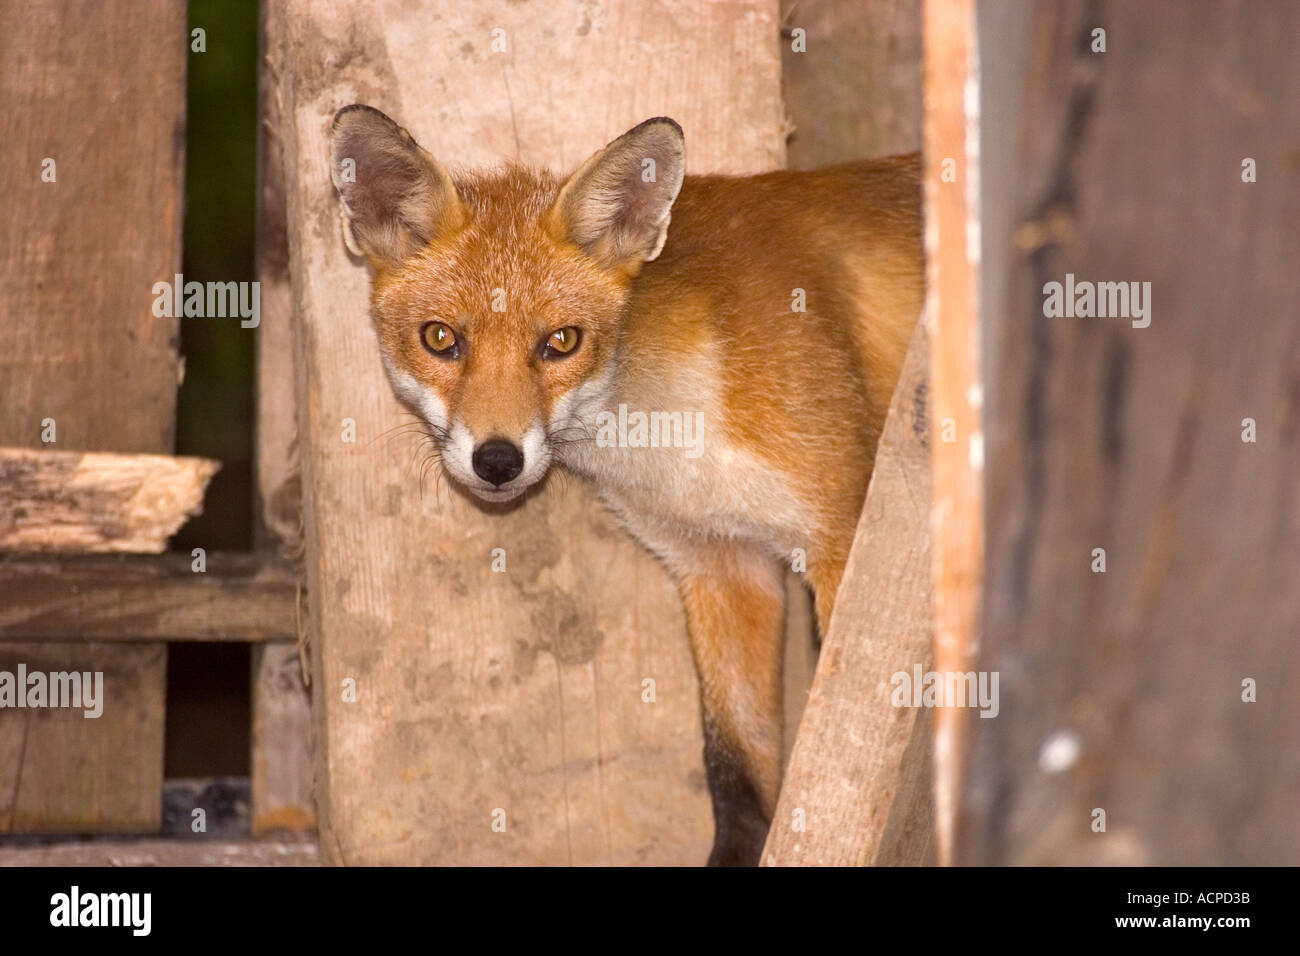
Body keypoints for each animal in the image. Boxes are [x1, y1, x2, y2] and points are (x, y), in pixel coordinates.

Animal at [329, 105, 923, 866]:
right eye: (440, 339)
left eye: (561, 342)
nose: (498, 461)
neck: (673, 436)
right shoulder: (722, 564)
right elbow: (736, 771)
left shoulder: (842, 536)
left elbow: (835, 740)